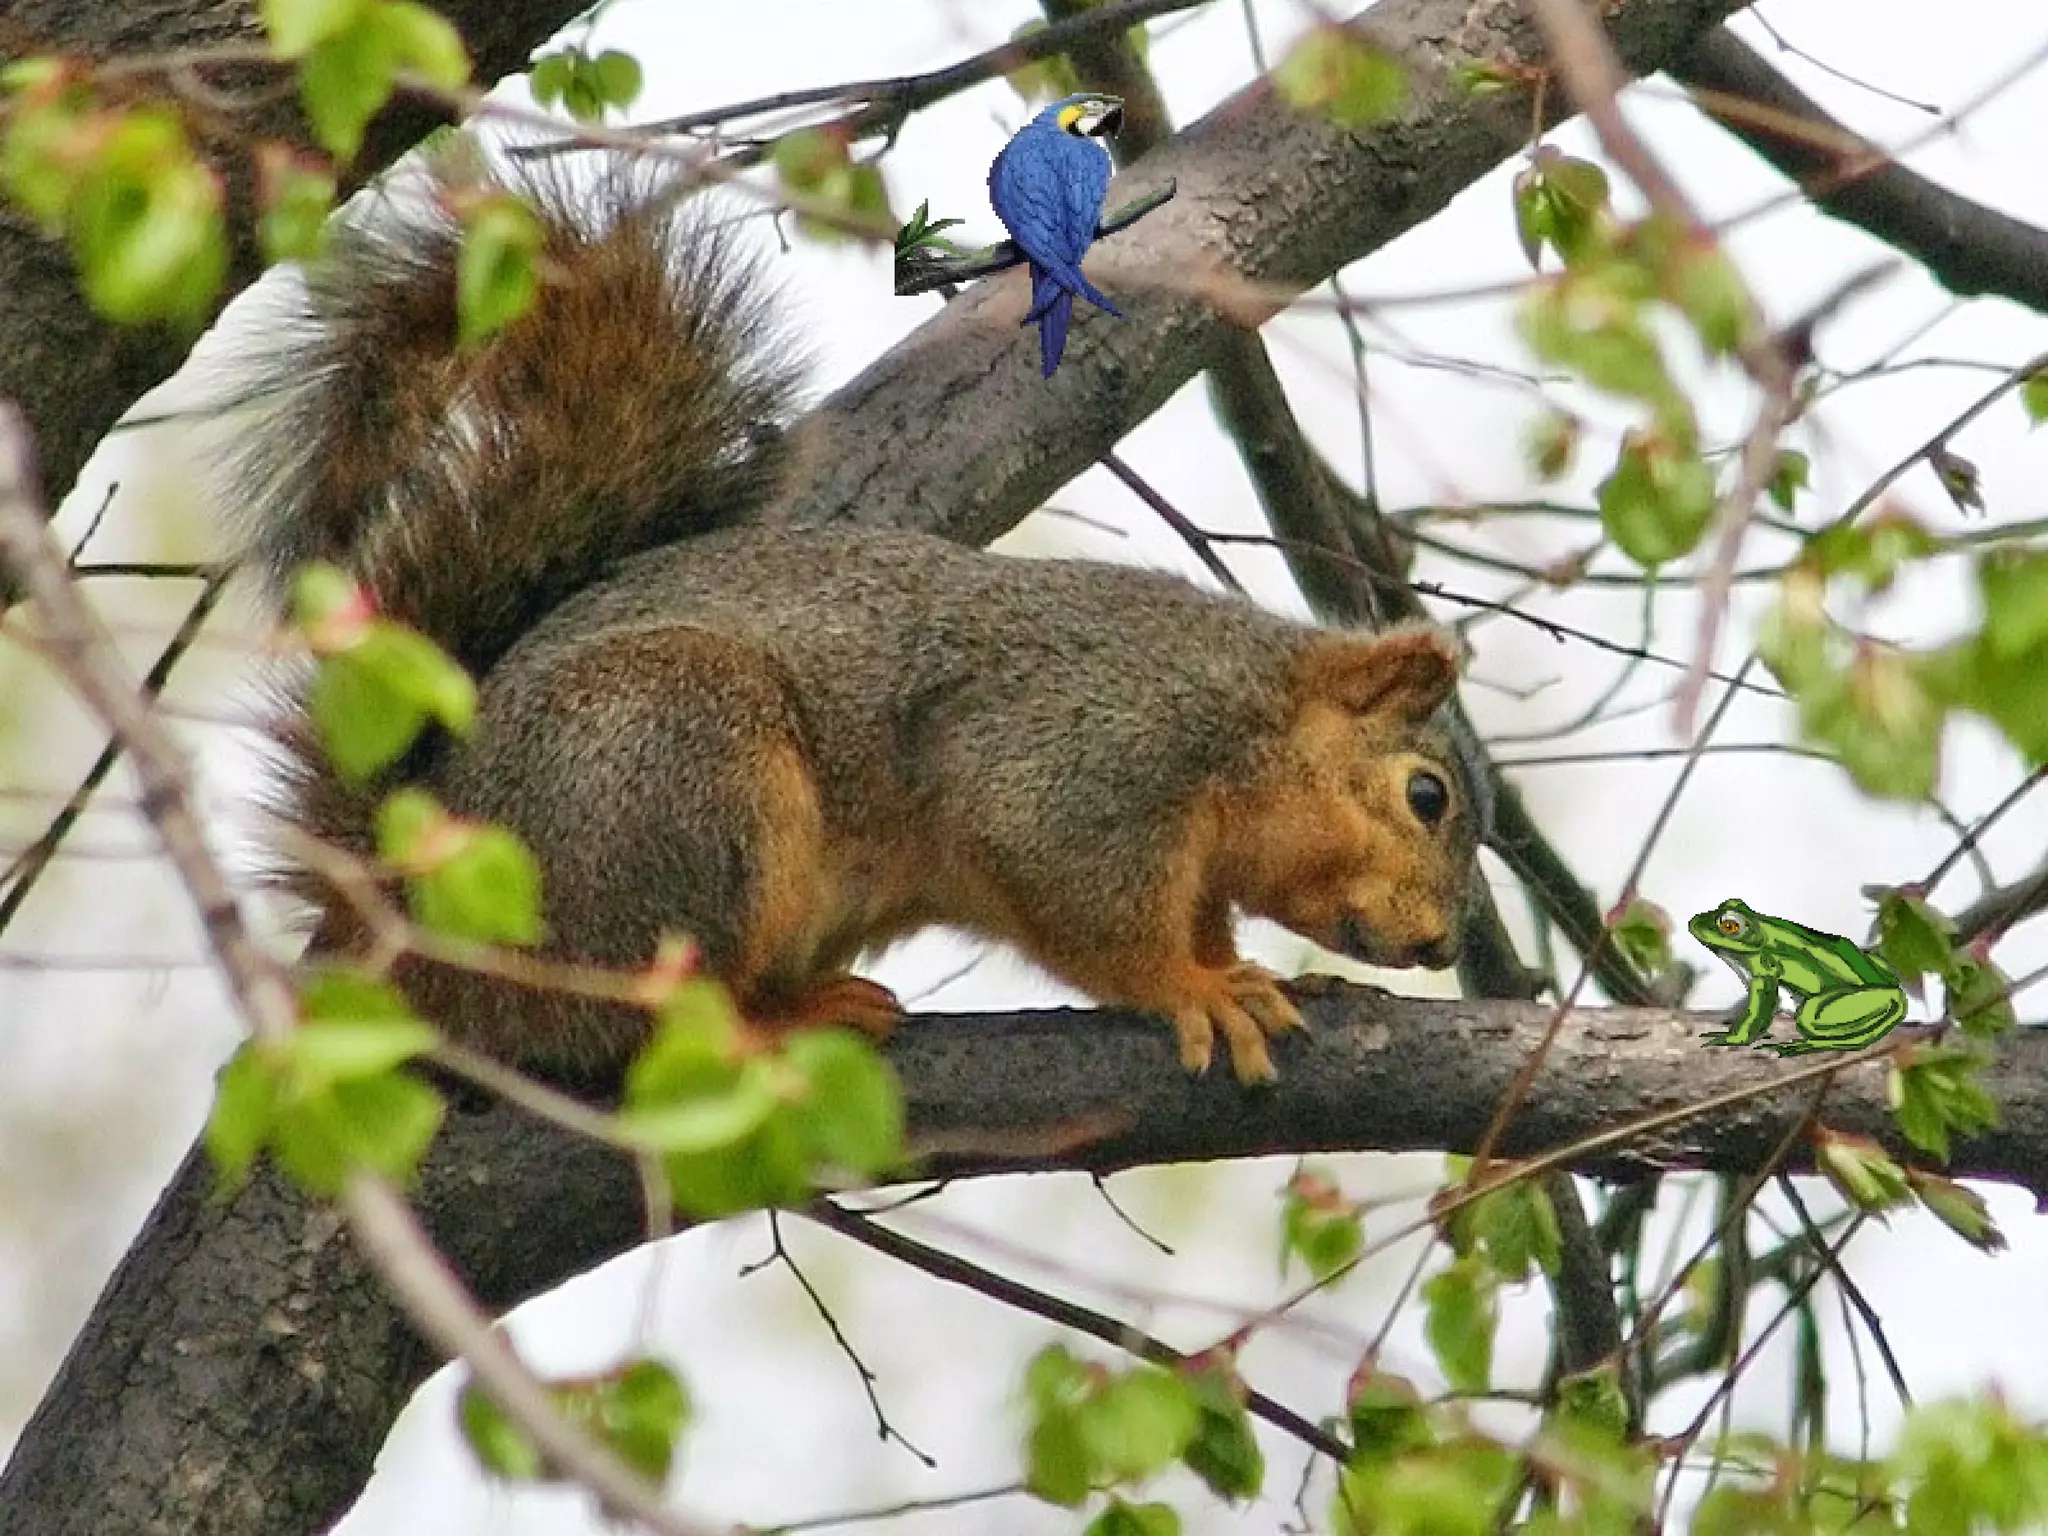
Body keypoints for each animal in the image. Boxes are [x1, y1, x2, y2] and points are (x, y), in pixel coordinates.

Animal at [219, 153, 1489, 1086]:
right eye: (1426, 797)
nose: (1437, 944)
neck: (1245, 717)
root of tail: (408, 901)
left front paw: (1256, 972)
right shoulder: (1082, 758)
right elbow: (1085, 903)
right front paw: (1197, 988)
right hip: (672, 762)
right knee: (629, 1017)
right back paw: (777, 1020)